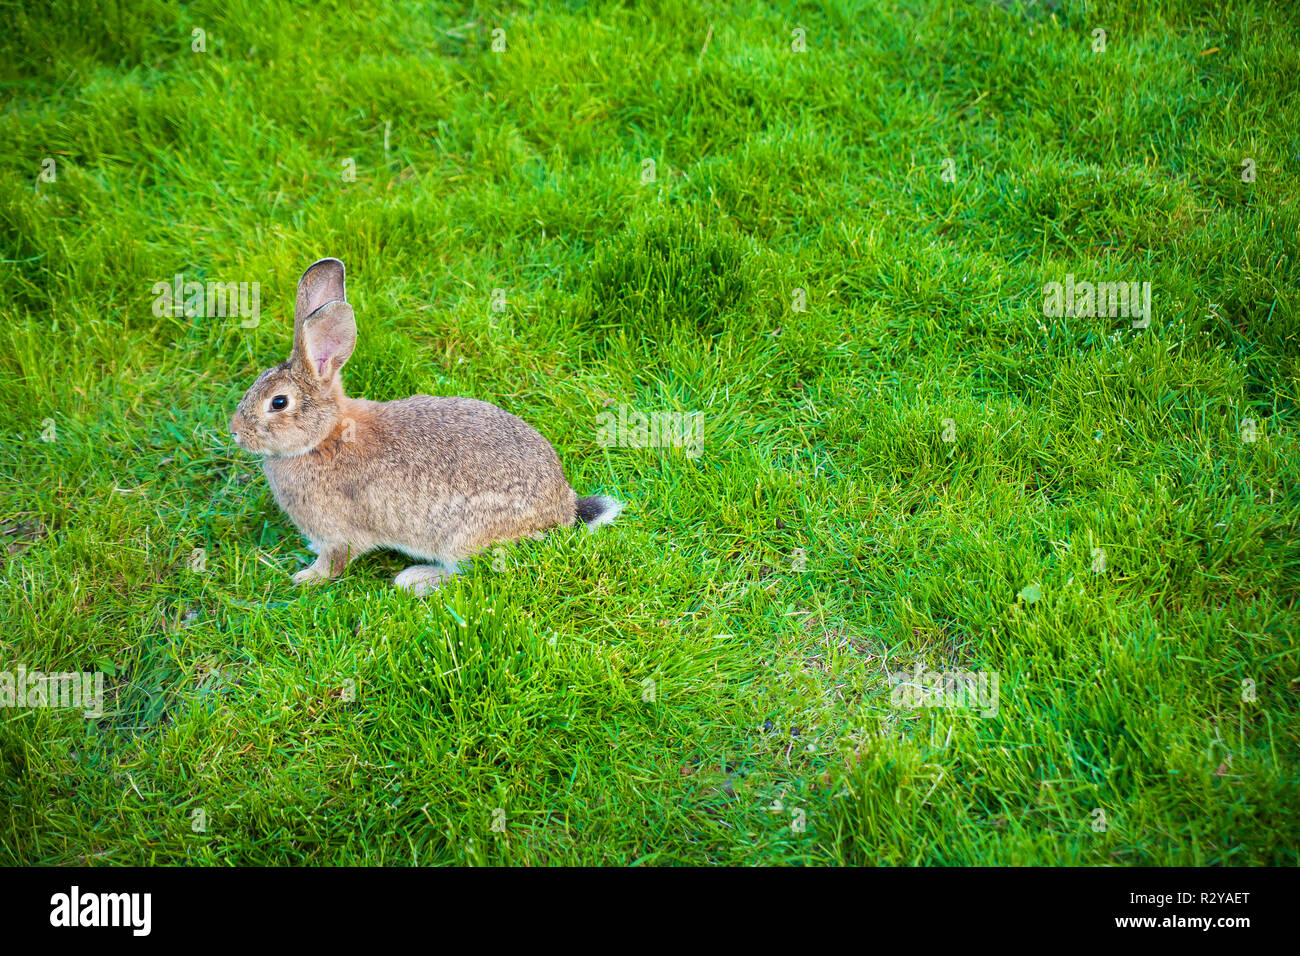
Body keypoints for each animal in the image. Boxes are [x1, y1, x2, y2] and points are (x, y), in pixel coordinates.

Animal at [229, 257, 621, 595]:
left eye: (278, 403)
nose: (234, 430)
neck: (323, 436)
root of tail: (561, 510)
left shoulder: (337, 533)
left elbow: (335, 562)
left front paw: (305, 577)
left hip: (462, 538)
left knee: (470, 574)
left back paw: (415, 579)